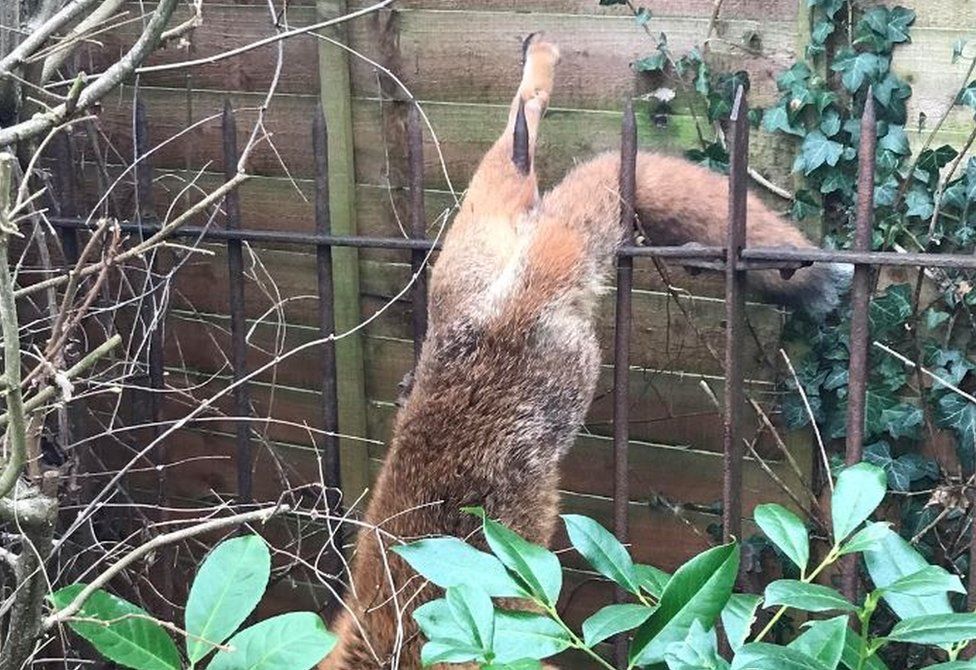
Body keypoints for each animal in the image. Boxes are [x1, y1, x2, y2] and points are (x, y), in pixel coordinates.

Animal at [319, 35, 849, 670]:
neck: (393, 635)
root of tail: (517, 291)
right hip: (475, 243)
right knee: (517, 139)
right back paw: (538, 65)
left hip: (570, 375)